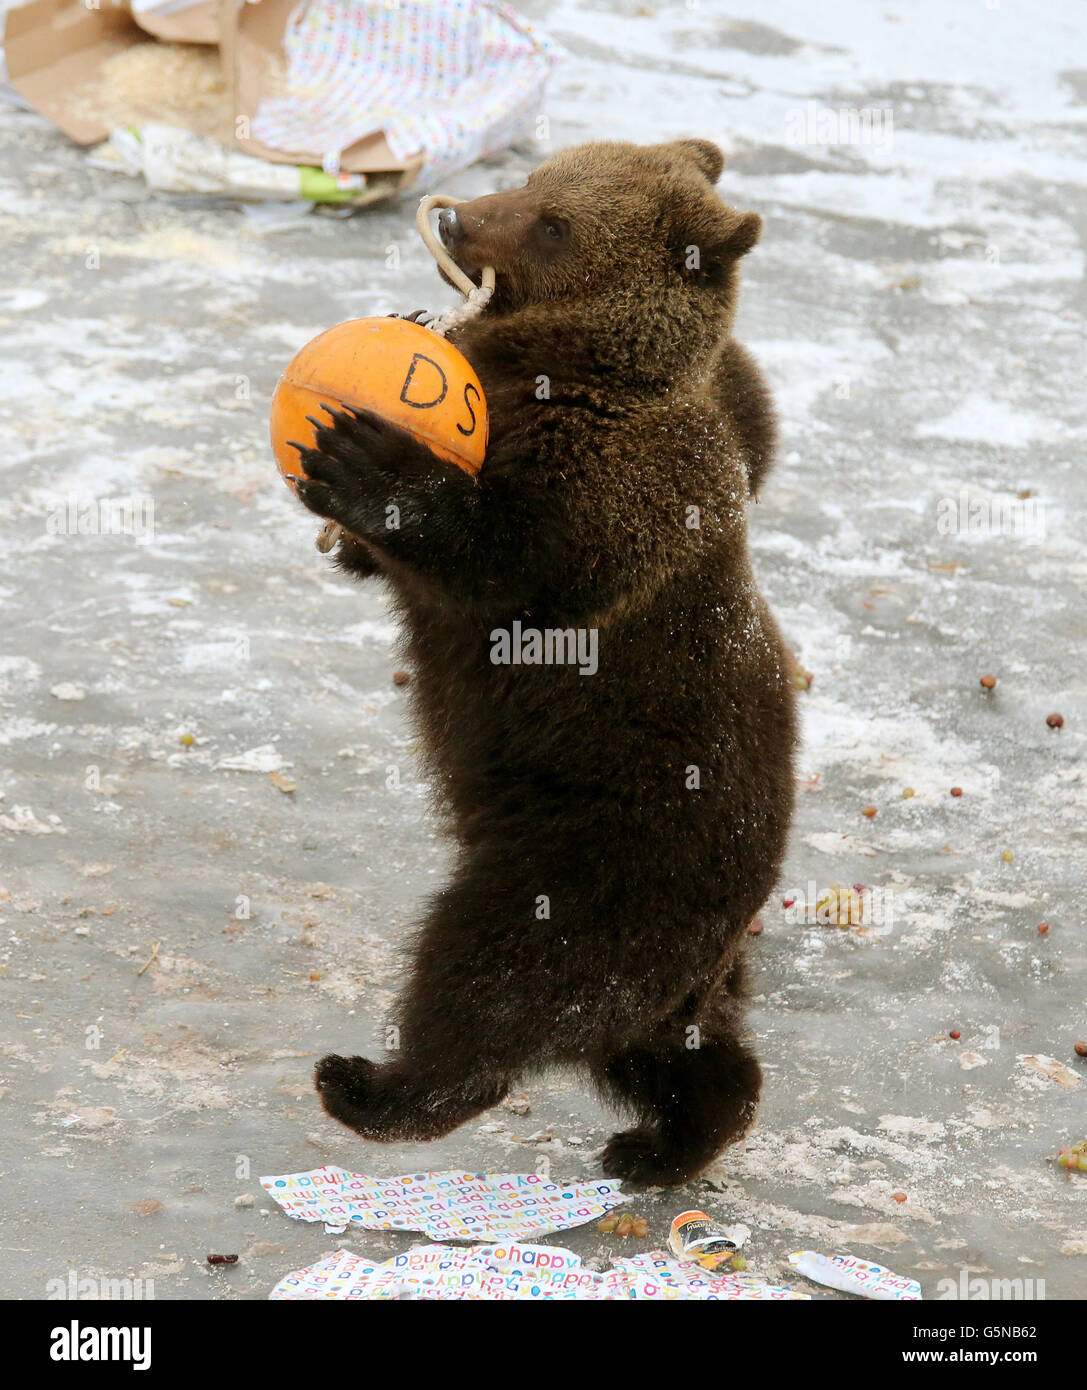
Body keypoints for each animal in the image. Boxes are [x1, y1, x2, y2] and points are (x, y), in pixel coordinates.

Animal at [291, 138, 796, 1186]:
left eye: (555, 222)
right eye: (535, 178)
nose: (456, 217)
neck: (566, 371)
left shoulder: (614, 495)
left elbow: (511, 564)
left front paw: (359, 454)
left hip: (596, 850)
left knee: (492, 972)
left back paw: (373, 1085)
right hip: (663, 940)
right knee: (671, 1039)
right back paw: (664, 1140)